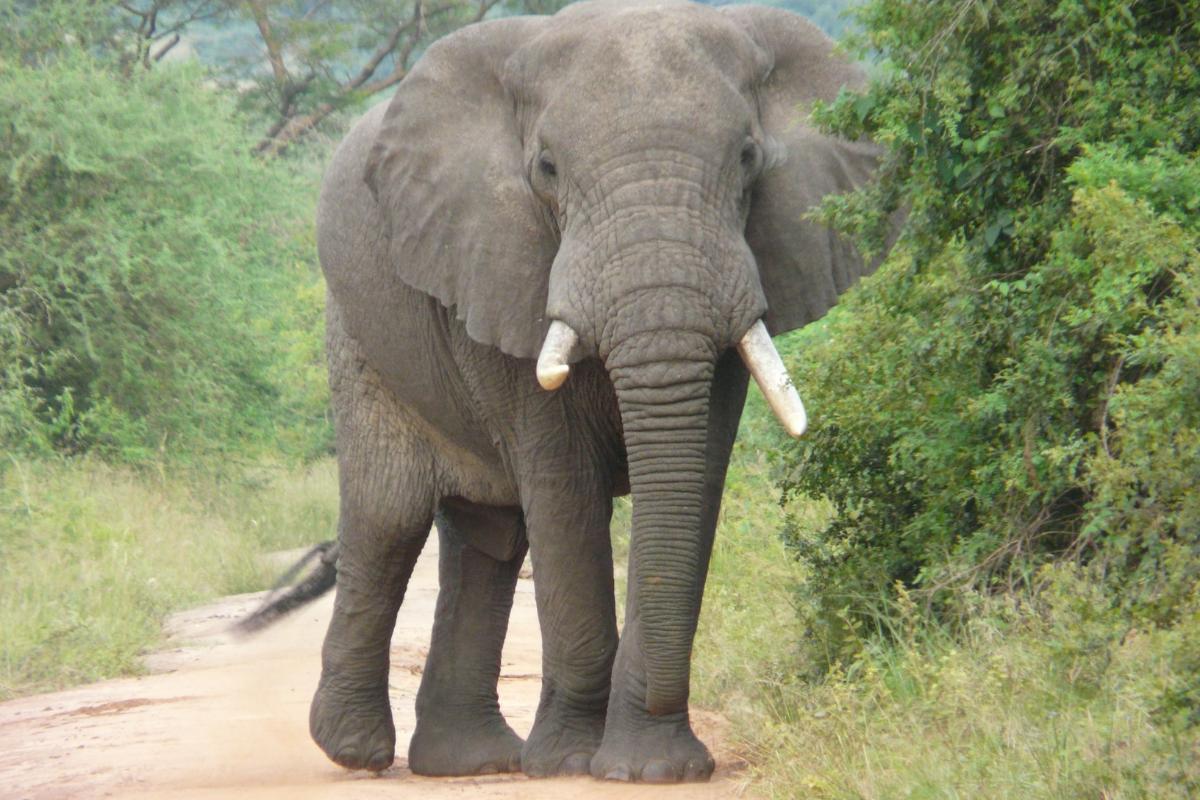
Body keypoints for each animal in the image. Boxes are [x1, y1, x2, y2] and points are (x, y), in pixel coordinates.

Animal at [309, 0, 882, 784]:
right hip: (358, 330)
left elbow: (694, 479)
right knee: (389, 515)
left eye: (747, 158)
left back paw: (470, 761)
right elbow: (564, 487)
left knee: (488, 534)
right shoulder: (502, 263)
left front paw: (652, 768)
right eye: (547, 169)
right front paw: (575, 762)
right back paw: (355, 751)